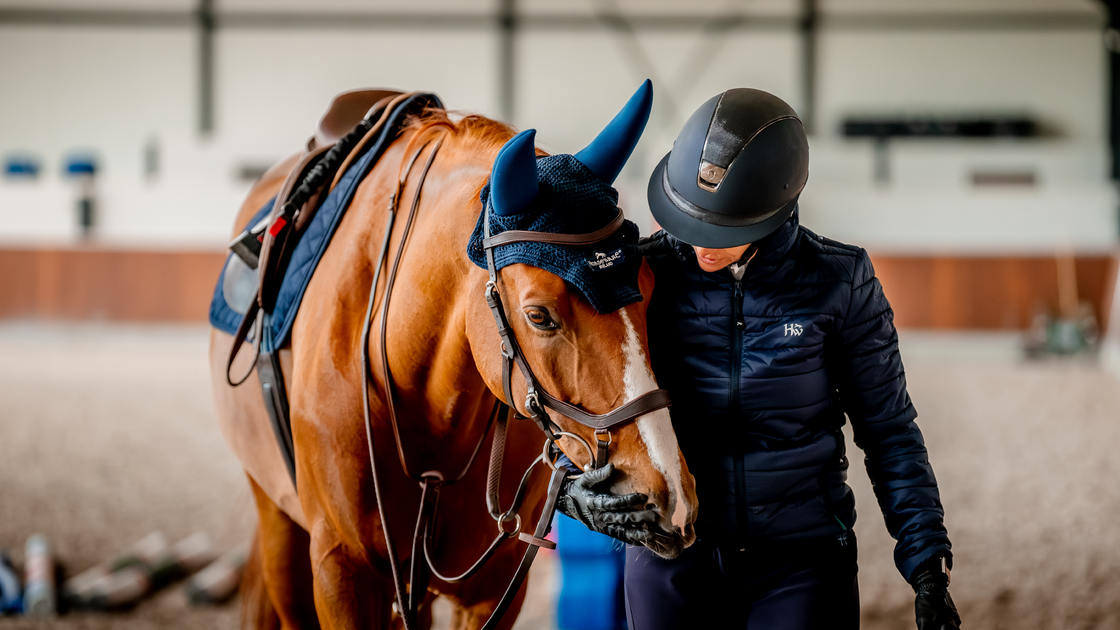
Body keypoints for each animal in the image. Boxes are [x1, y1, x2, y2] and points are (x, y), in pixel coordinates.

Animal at [208, 83, 699, 629]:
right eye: (539, 316)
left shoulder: (494, 584)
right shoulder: (341, 573)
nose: (670, 499)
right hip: (279, 523)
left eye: (650, 287)